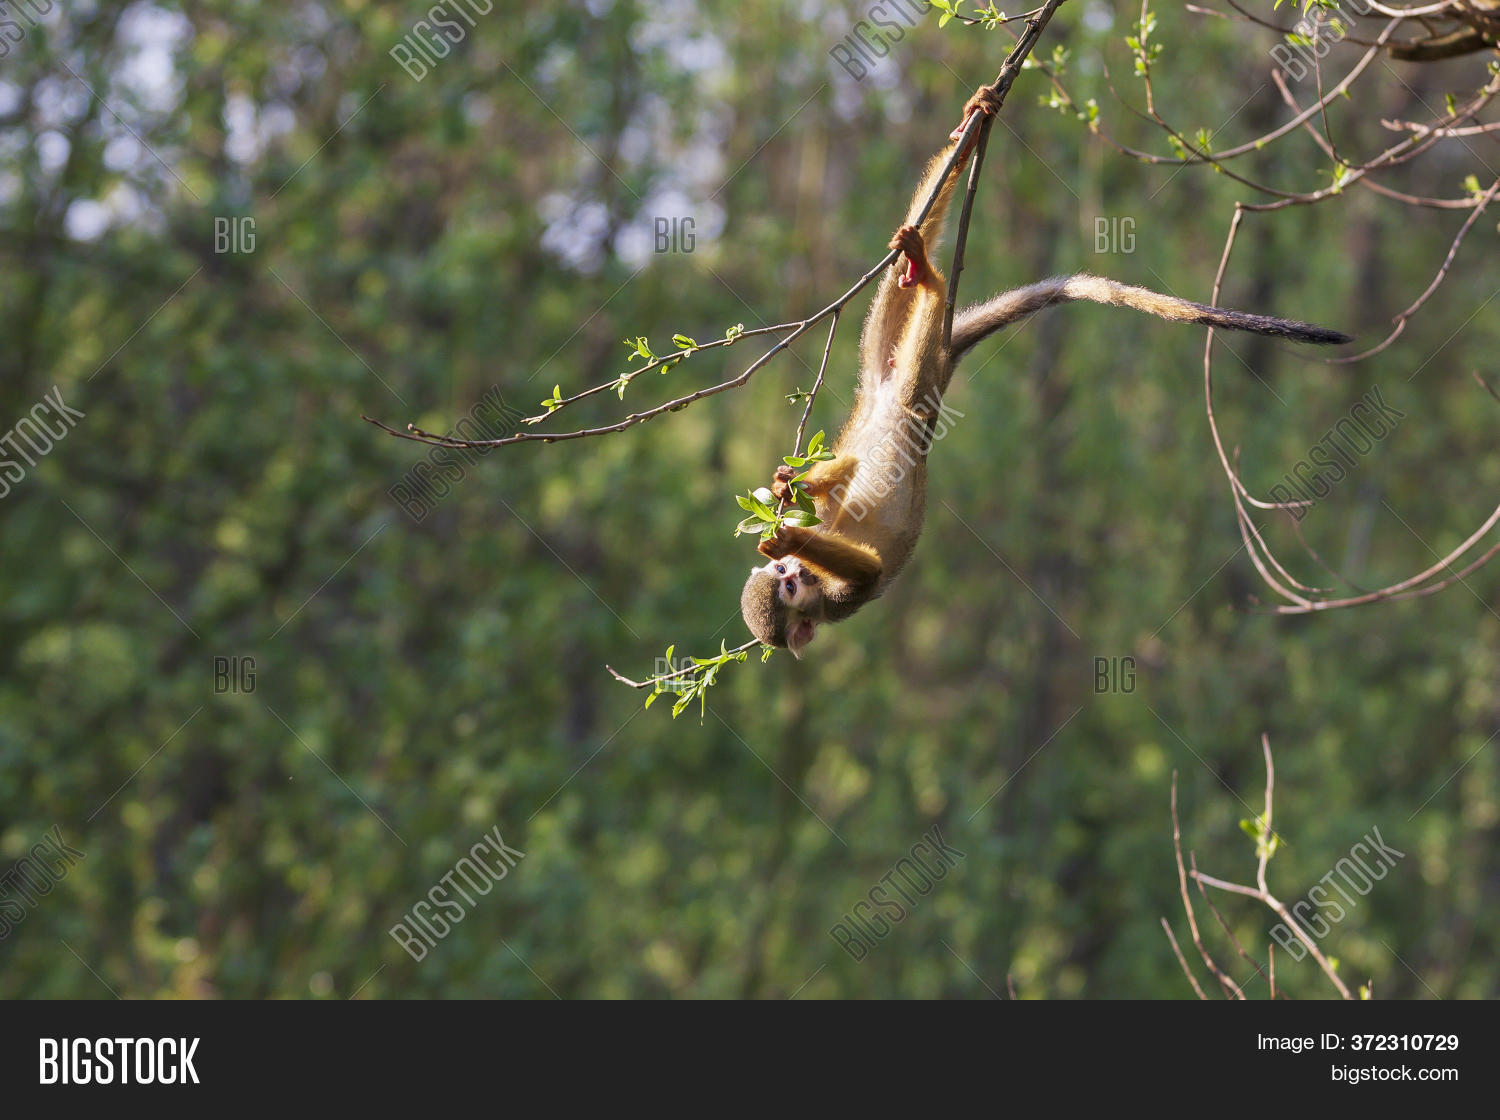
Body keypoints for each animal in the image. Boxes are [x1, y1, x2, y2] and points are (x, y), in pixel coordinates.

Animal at [741, 85, 1351, 657]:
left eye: (789, 583)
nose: (790, 570)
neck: (820, 589)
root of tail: (928, 372)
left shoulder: (843, 595)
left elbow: (864, 567)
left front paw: (785, 523)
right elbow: (843, 507)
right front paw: (788, 503)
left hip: (902, 387)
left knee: (909, 328)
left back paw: (930, 263)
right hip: (879, 389)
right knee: (871, 414)